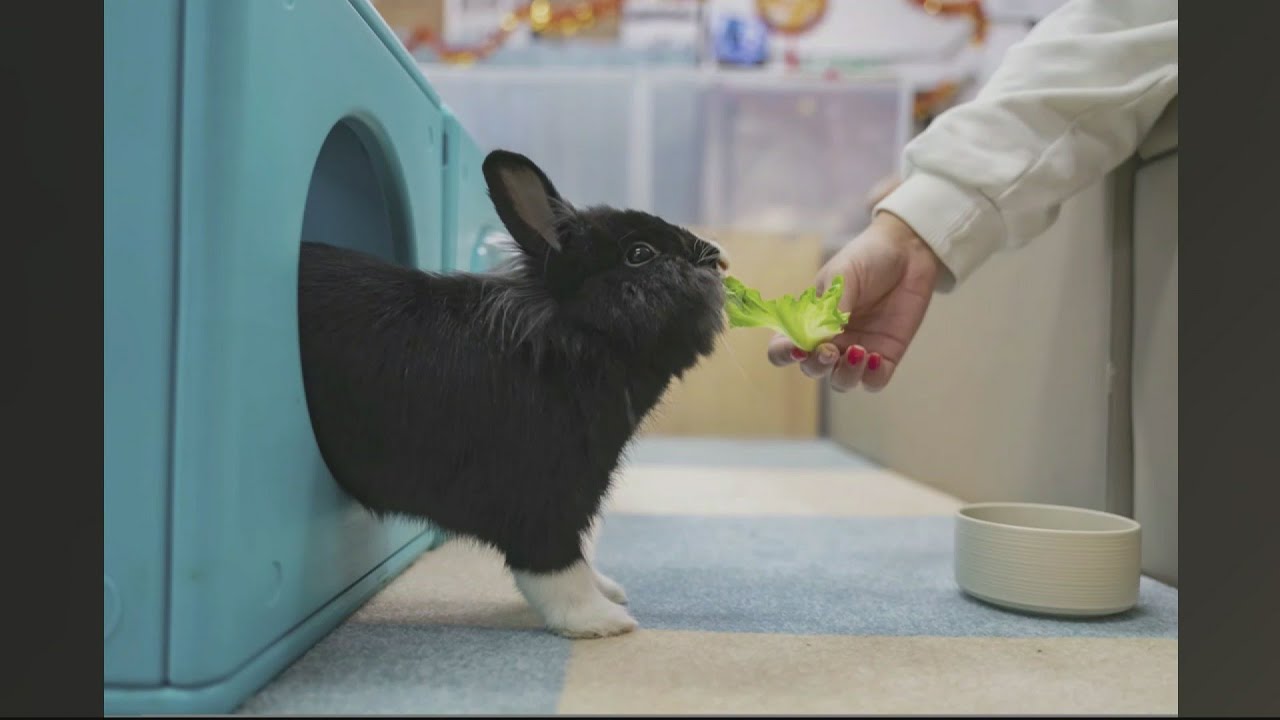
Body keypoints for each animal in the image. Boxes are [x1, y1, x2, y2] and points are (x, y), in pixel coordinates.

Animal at [297, 150, 728, 638]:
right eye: (640, 254)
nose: (717, 256)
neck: (572, 339)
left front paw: (608, 590)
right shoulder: (545, 495)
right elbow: (556, 568)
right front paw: (602, 620)